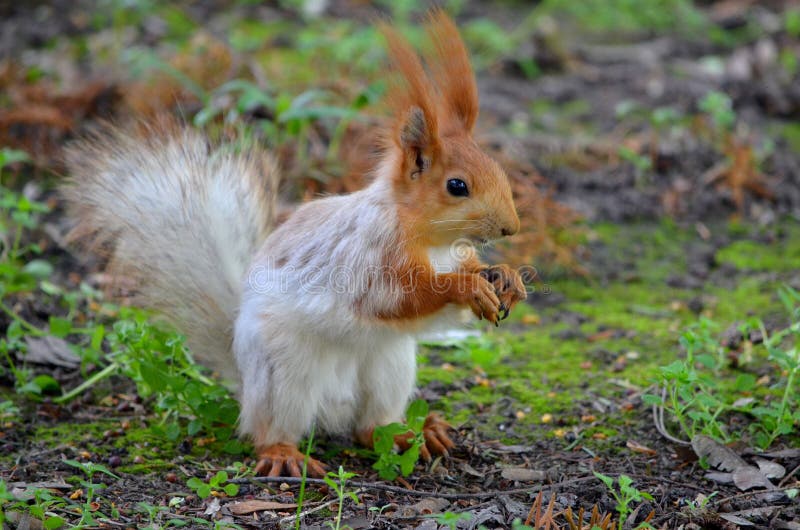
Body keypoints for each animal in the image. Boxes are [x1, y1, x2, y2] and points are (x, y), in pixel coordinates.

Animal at [62, 10, 527, 477]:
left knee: (368, 427)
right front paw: (467, 288)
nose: (511, 227)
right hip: (283, 374)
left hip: (389, 366)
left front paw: (504, 278)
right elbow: (398, 297)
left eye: (496, 167)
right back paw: (283, 454)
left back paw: (412, 434)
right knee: (270, 429)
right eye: (457, 186)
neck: (429, 237)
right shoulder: (368, 256)